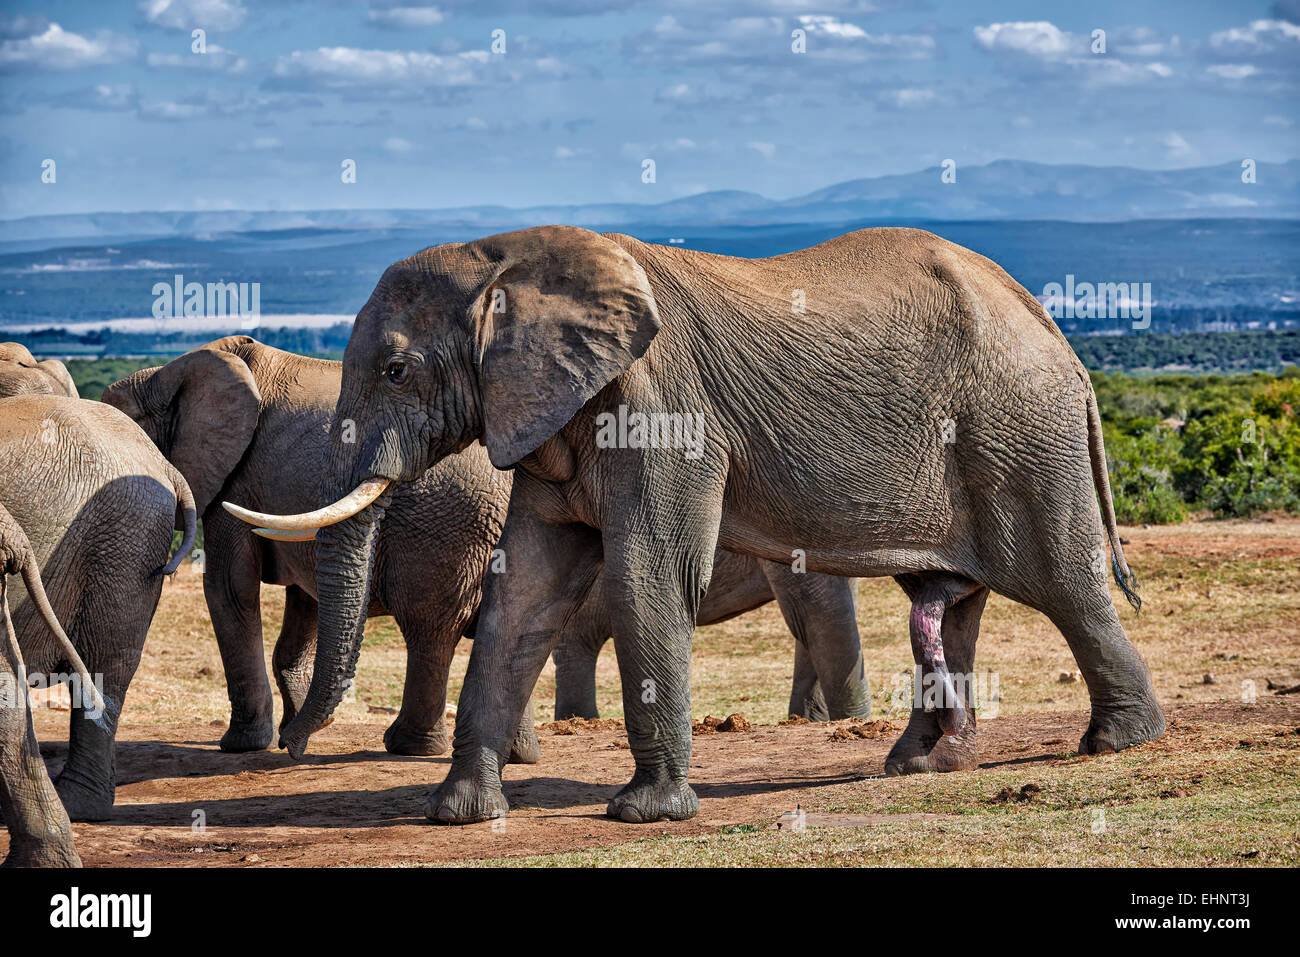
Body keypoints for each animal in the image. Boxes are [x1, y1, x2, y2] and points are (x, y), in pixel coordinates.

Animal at [105, 337, 867, 759]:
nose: (294, 751)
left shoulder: (231, 480)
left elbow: (231, 593)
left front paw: (247, 744)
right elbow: (299, 608)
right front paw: (288, 732)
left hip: (447, 520)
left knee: (431, 626)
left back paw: (411, 748)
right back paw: (516, 753)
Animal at [235, 225, 1165, 826]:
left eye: (396, 369)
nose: (286, 754)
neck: (507, 256)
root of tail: (1053, 326)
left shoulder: (662, 410)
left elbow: (645, 574)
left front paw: (645, 813)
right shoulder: (552, 421)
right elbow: (525, 593)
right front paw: (458, 813)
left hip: (1018, 428)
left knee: (1063, 580)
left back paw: (1117, 740)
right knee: (946, 602)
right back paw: (923, 761)